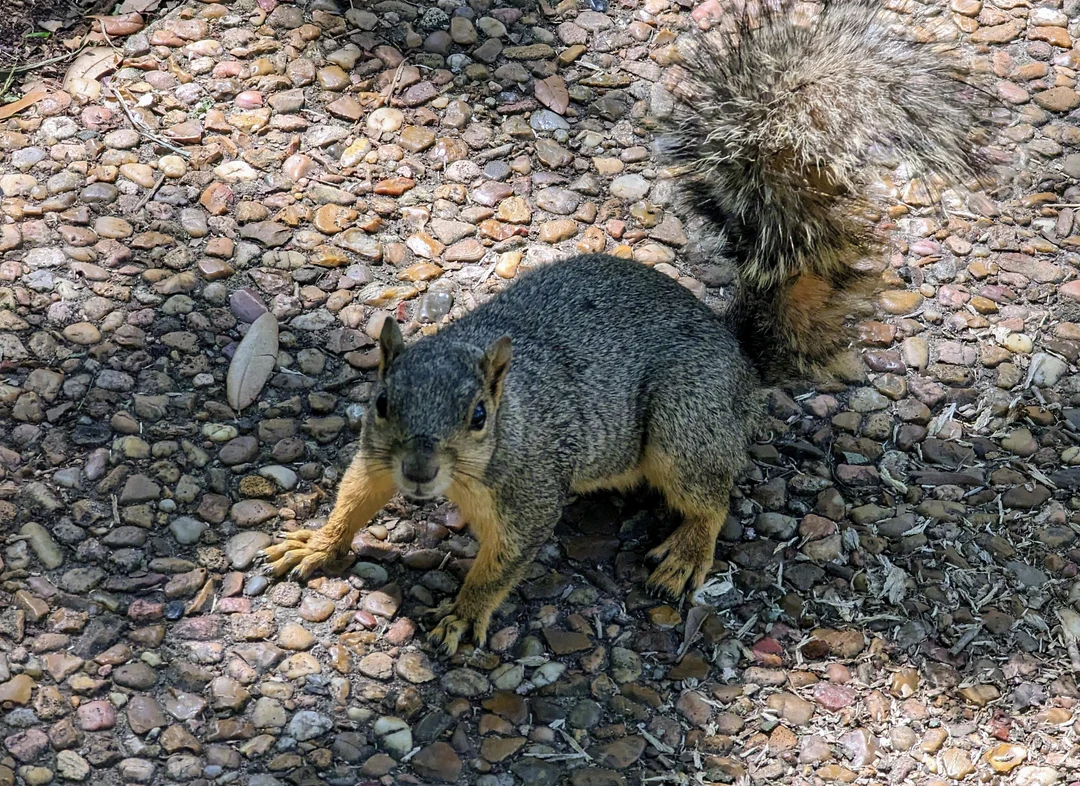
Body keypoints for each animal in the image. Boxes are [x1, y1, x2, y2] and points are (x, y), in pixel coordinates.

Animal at [262, 0, 993, 656]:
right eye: (383, 402)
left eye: (477, 416)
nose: (418, 471)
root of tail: (738, 358)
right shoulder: (374, 455)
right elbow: (353, 497)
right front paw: (316, 542)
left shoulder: (528, 491)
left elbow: (503, 564)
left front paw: (464, 614)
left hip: (685, 424)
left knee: (713, 496)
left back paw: (687, 553)